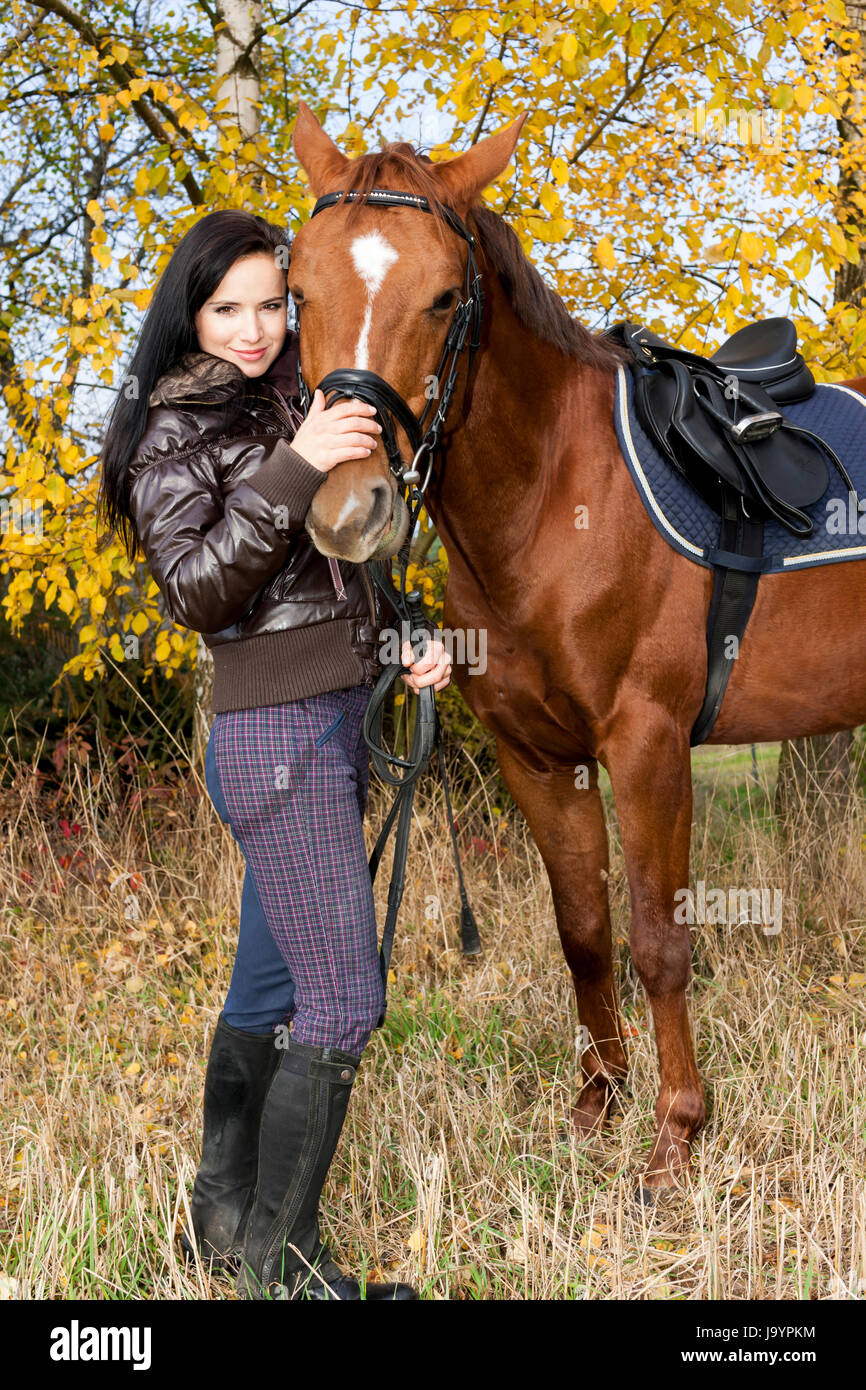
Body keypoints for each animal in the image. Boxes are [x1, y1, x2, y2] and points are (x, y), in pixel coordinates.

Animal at [288, 100, 866, 1191]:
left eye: (443, 298)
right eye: (298, 291)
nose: (350, 510)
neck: (557, 496)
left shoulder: (645, 747)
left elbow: (656, 942)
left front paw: (676, 1134)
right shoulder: (538, 757)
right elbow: (585, 934)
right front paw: (598, 1106)